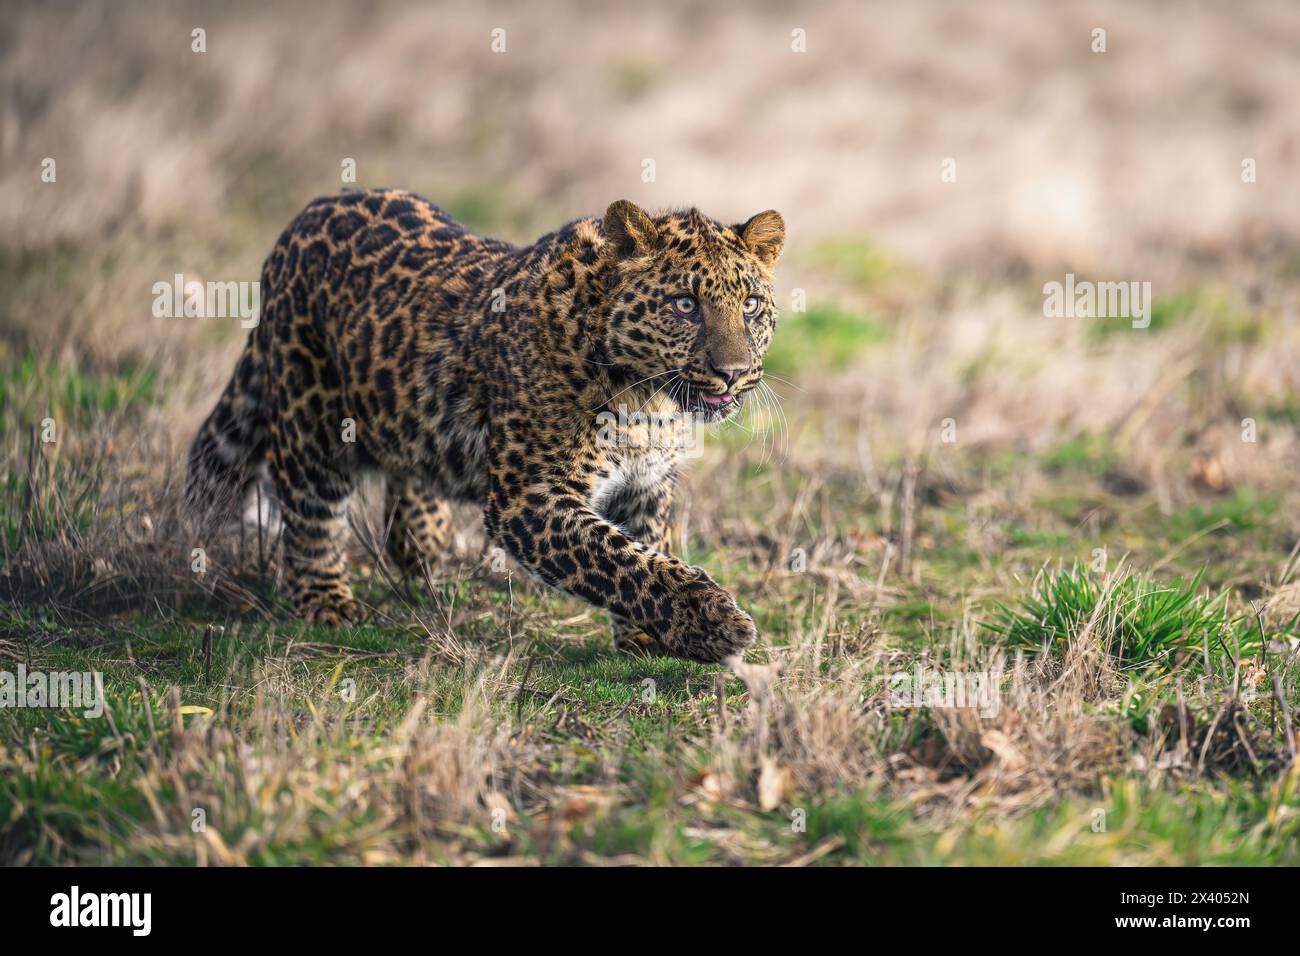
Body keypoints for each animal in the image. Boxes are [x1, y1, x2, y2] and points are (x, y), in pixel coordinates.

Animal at [186, 189, 785, 663]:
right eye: (685, 304)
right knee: (310, 518)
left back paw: (424, 546)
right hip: (311, 423)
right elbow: (621, 562)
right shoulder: (529, 496)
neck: (648, 400)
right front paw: (715, 623)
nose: (733, 373)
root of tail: (304, 217)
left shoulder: (645, 485)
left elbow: (646, 548)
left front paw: (648, 637)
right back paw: (328, 603)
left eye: (751, 305)